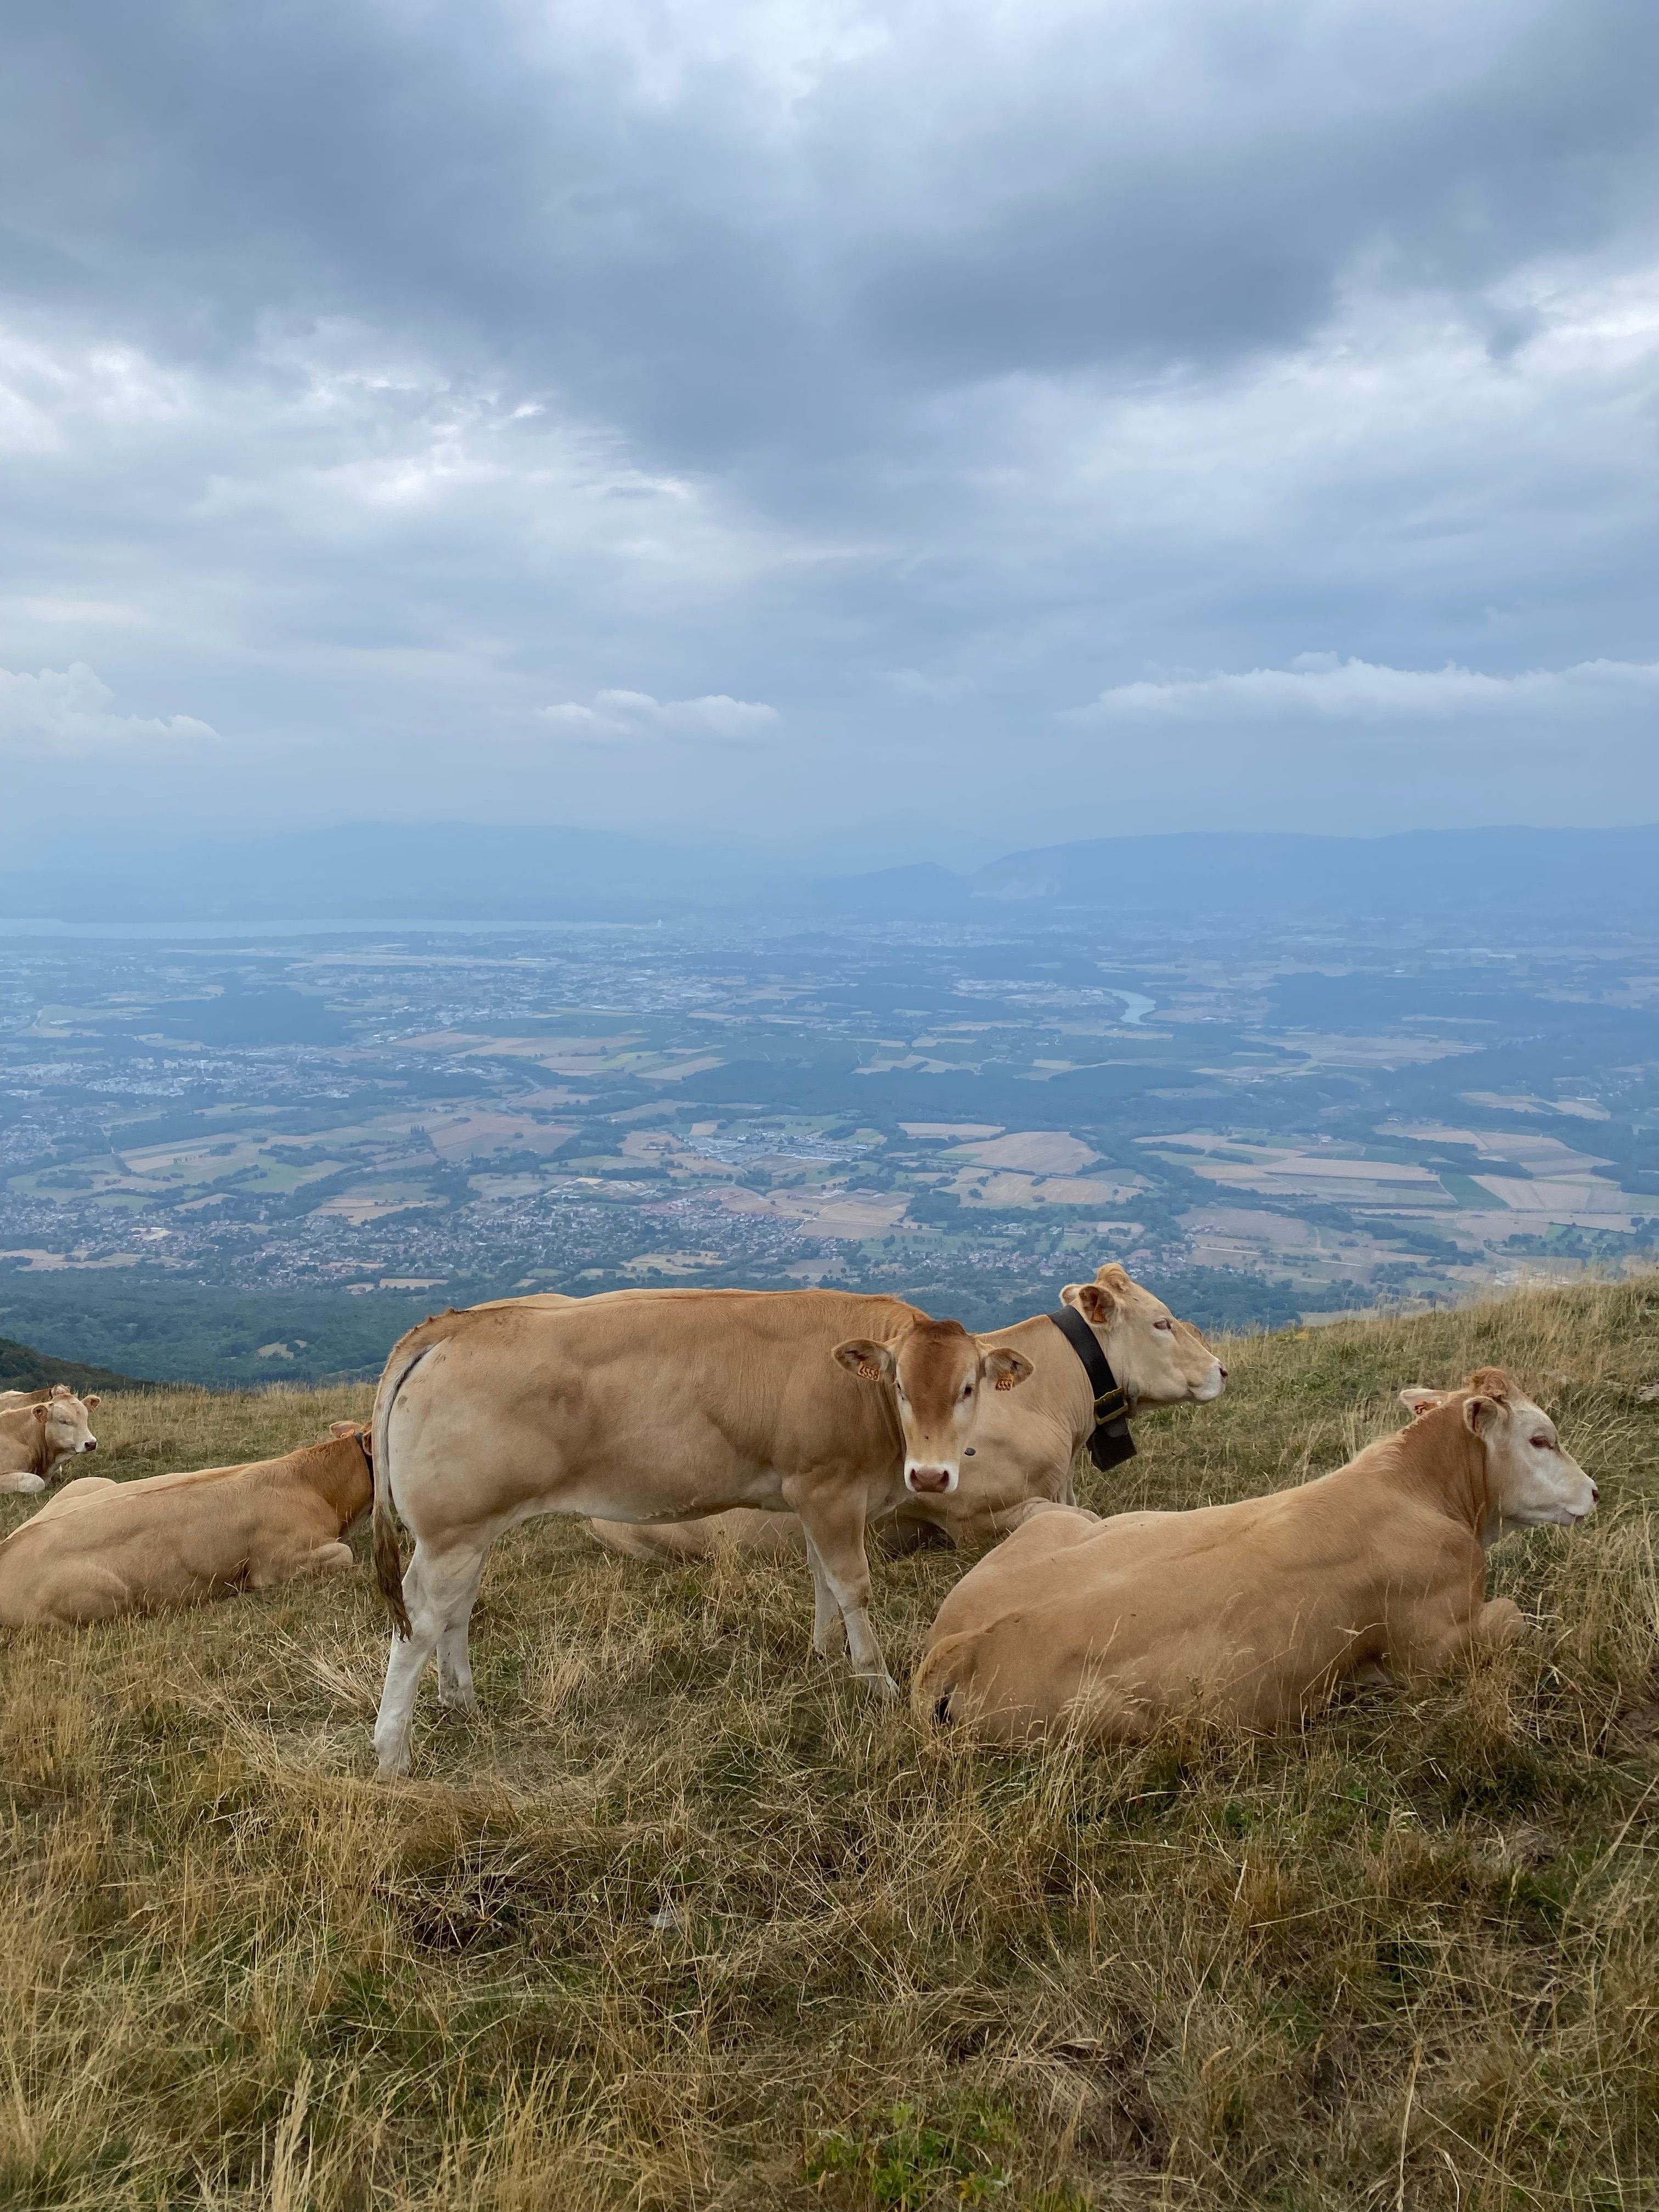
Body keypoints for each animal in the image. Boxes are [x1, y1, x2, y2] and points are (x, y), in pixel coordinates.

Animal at [368, 1290, 1036, 1776]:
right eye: (899, 1387)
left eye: (968, 1388)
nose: (930, 1475)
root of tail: (456, 1326)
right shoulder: (829, 1487)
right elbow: (852, 1586)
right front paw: (876, 1681)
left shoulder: (811, 1494)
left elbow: (821, 1576)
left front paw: (824, 1655)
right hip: (454, 1530)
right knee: (421, 1621)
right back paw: (392, 1753)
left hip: (467, 1531)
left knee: (454, 1611)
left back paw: (460, 1698)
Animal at [914, 1368, 1596, 1745]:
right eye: (1541, 1438)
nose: (1593, 1491)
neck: (1419, 1491)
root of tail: (959, 1648)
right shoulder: (1434, 1650)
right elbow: (1516, 1618)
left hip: (1061, 1520)